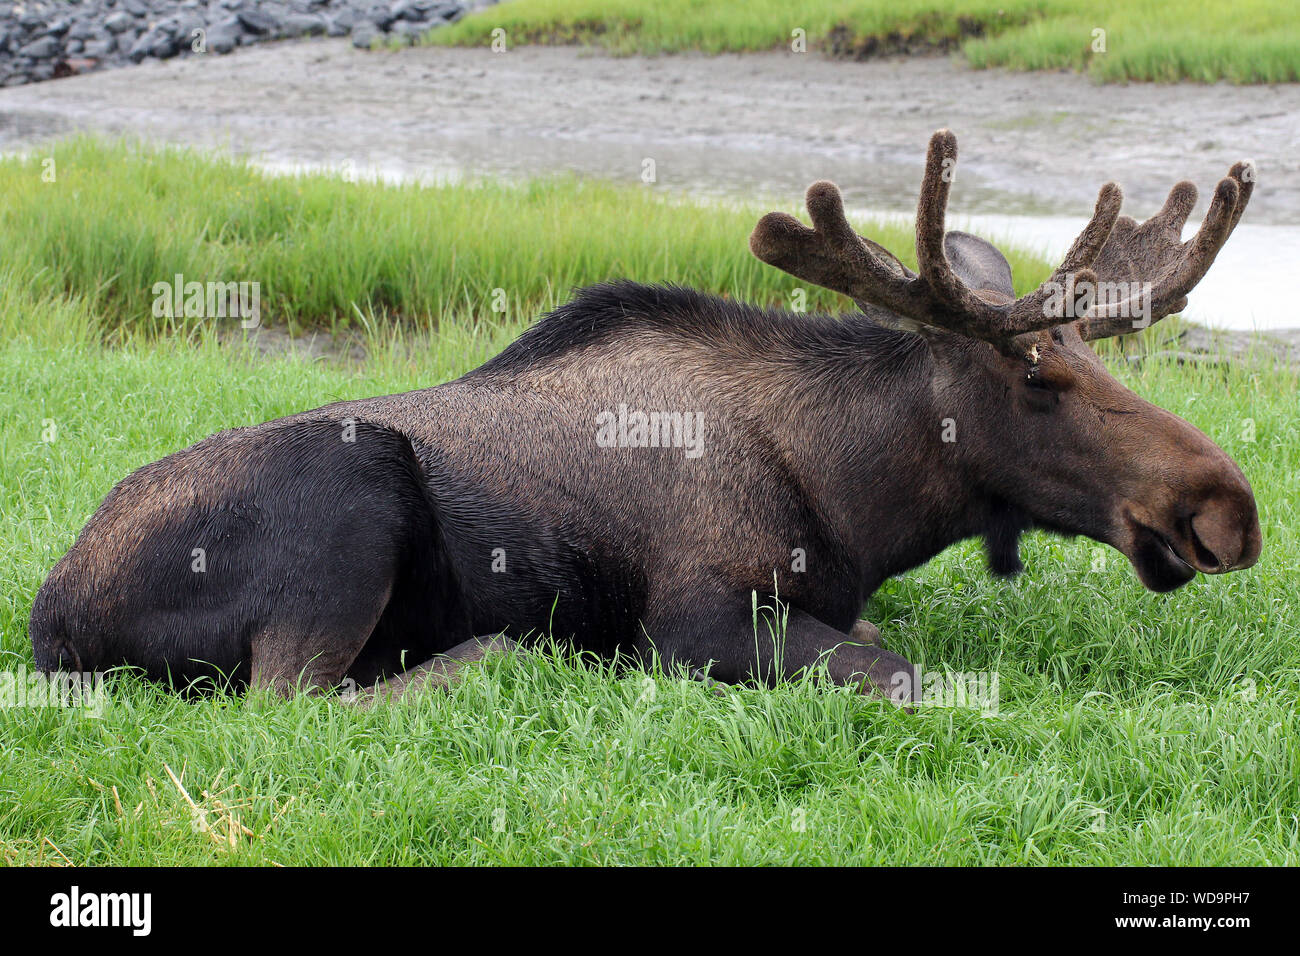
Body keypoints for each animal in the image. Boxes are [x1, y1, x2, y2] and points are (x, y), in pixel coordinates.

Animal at [30, 130, 1261, 706]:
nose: (1228, 510)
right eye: (1038, 378)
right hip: (350, 491)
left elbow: (873, 640)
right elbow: (895, 669)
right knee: (295, 699)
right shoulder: (698, 617)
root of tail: (50, 618)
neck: (860, 504)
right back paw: (505, 653)